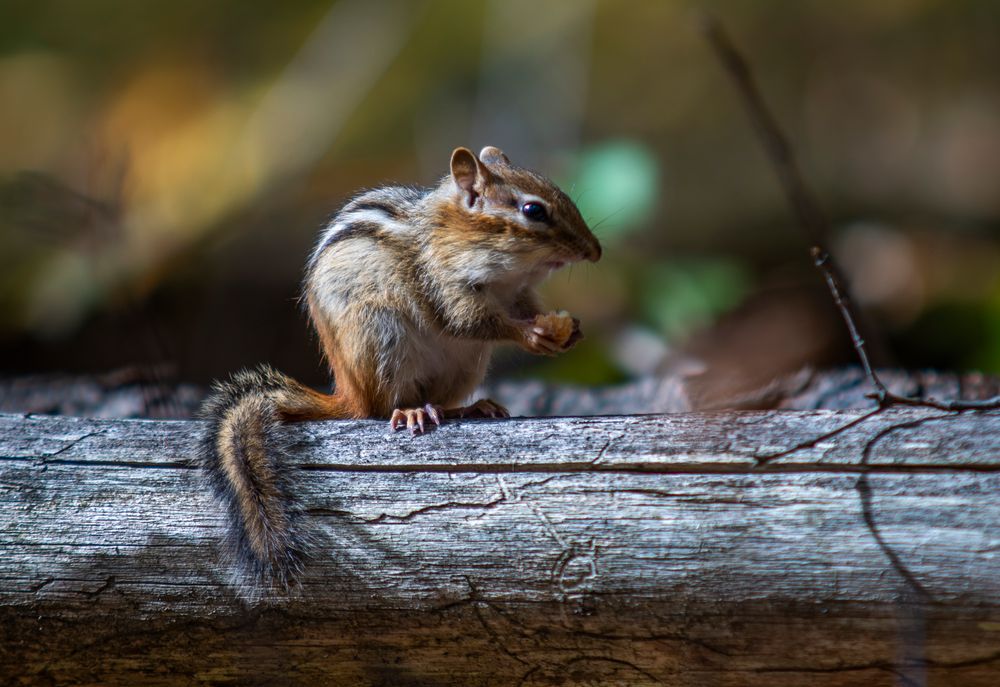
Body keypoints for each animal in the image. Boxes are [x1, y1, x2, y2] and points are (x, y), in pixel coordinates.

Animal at [199, 146, 602, 585]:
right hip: (383, 336)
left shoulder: (518, 294)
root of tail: (347, 393)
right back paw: (410, 411)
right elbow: (469, 321)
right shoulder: (443, 282)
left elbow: (521, 310)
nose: (595, 251)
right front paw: (534, 335)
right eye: (534, 210)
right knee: (379, 408)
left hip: (465, 365)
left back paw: (470, 407)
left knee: (439, 402)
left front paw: (568, 331)